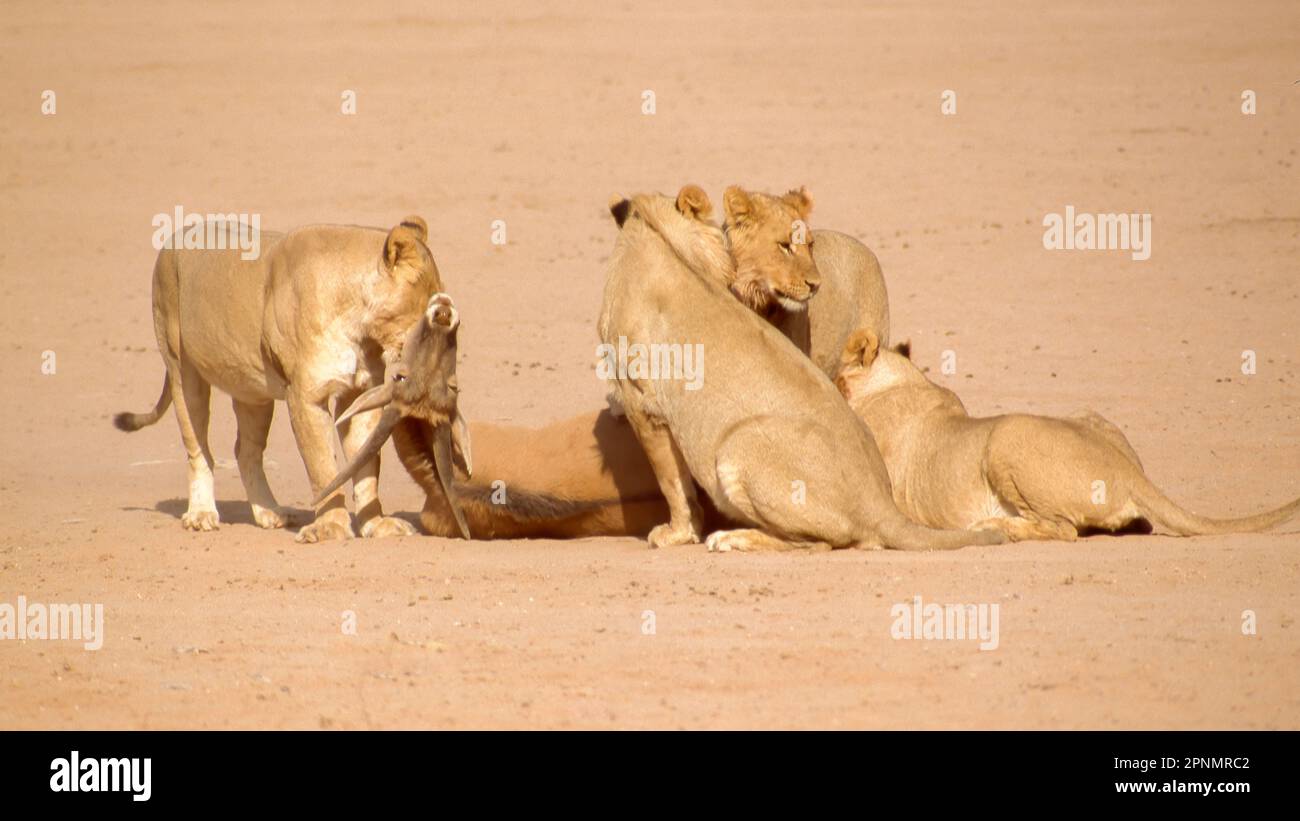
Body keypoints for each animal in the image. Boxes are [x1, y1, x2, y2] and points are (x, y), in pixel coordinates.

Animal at [114, 216, 468, 543]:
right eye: (433, 303)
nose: (447, 310)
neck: (361, 327)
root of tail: (179, 235)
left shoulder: (358, 393)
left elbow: (366, 465)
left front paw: (376, 524)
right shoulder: (306, 397)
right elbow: (322, 465)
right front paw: (330, 527)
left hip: (252, 391)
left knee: (246, 451)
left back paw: (270, 512)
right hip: (182, 370)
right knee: (199, 447)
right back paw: (201, 514)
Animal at [597, 186, 1004, 551]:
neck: (659, 235)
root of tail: (882, 507)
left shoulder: (642, 404)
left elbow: (672, 482)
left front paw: (677, 533)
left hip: (735, 443)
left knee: (815, 543)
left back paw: (733, 538)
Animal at [834, 329, 1300, 540]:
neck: (894, 382)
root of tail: (1129, 472)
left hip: (1006, 435)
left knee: (1062, 529)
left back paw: (997, 525)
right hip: (1087, 414)